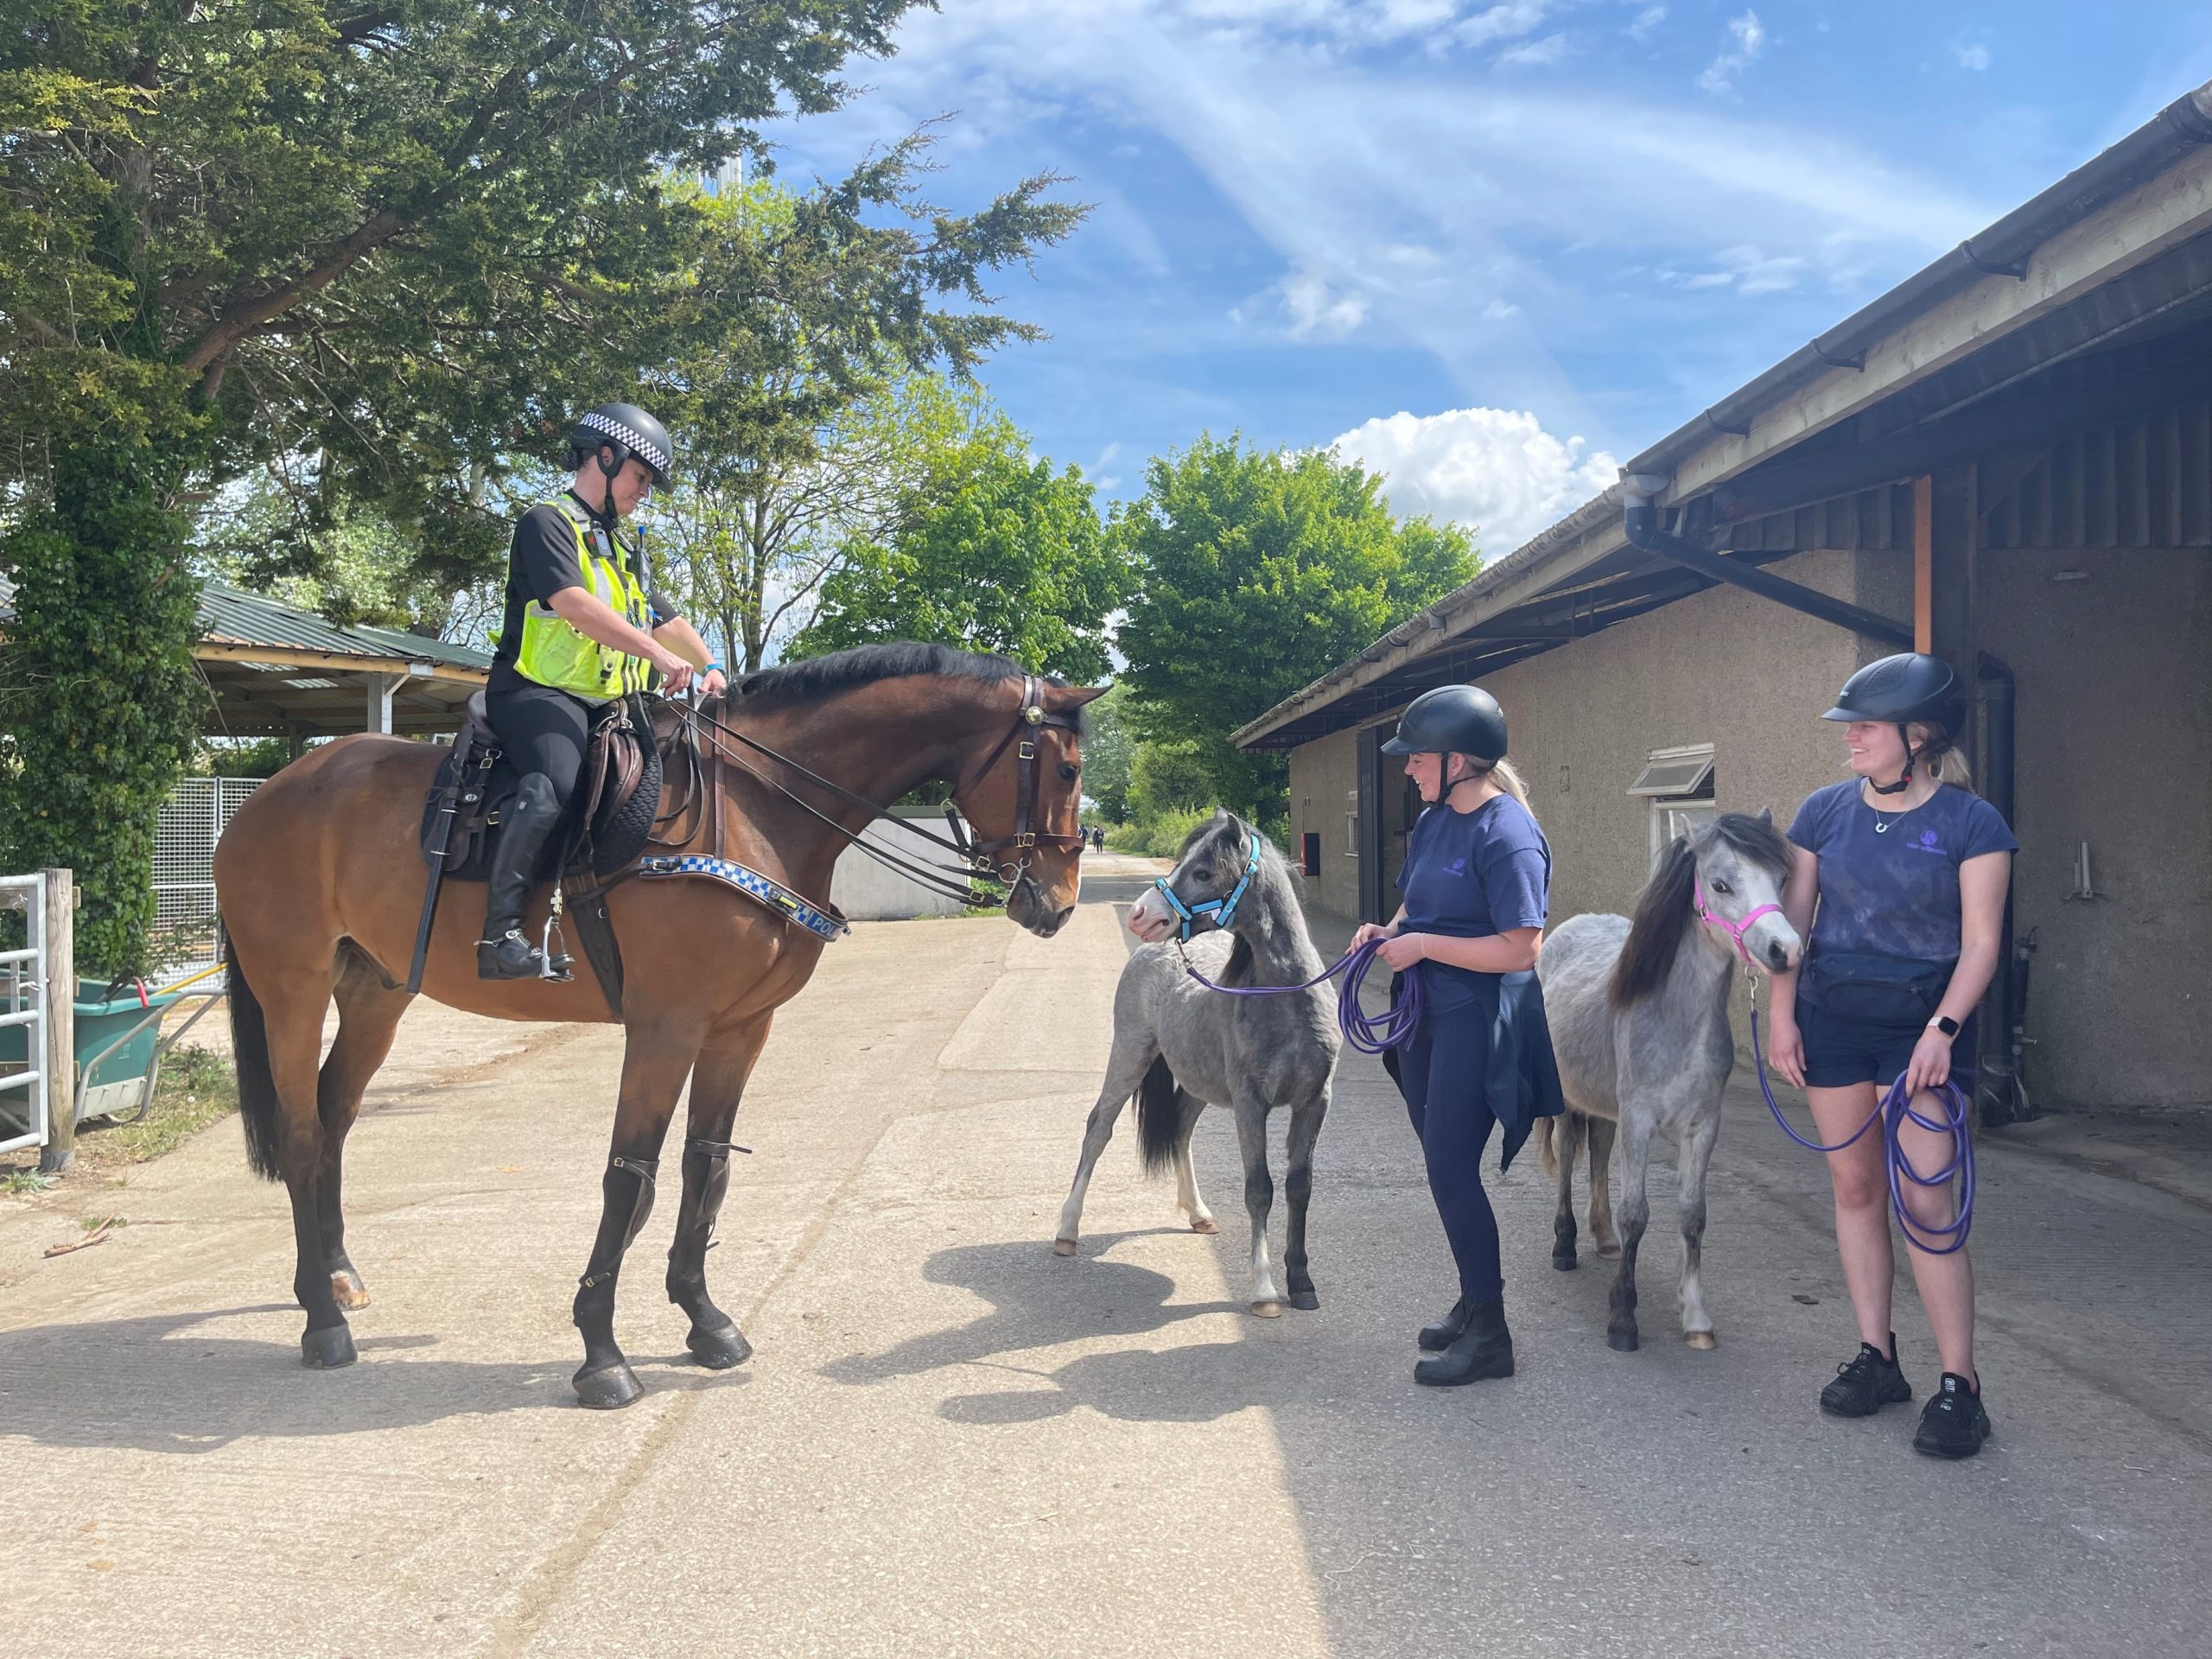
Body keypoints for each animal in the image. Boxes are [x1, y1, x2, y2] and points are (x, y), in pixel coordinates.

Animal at [213, 643, 1100, 1408]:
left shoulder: (740, 1030)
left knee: (333, 1119)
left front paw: (704, 1321)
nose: (1058, 906)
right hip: (292, 991)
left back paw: (338, 1275)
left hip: (376, 992)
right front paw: (601, 1354)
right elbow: (628, 1179)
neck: (753, 807)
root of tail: (269, 794)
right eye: (1066, 767)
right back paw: (321, 1322)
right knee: (300, 1135)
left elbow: (706, 1167)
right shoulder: (665, 1029)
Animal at [1051, 810, 1339, 1316]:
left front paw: (1302, 1283)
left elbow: (1299, 1186)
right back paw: (1067, 1230)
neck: (1286, 998)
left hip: (1195, 1084)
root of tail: (1152, 951)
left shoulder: (1314, 1102)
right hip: (1129, 1056)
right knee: (1097, 1129)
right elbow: (1259, 1189)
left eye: (1203, 872)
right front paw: (1264, 1290)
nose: (1141, 915)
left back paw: (1199, 1214)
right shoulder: (1250, 1105)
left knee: (1181, 1132)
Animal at [1534, 811, 1801, 1353]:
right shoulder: (1639, 1122)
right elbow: (1637, 1213)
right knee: (1570, 1155)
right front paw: (1622, 1319)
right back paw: (1566, 1244)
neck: (1678, 1023)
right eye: (1720, 884)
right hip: (1569, 1099)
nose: (1786, 950)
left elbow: (1693, 1215)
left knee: (1598, 1151)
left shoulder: (1702, 1127)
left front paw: (1696, 1316)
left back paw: (1603, 1239)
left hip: (1605, 1105)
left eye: (1782, 878)